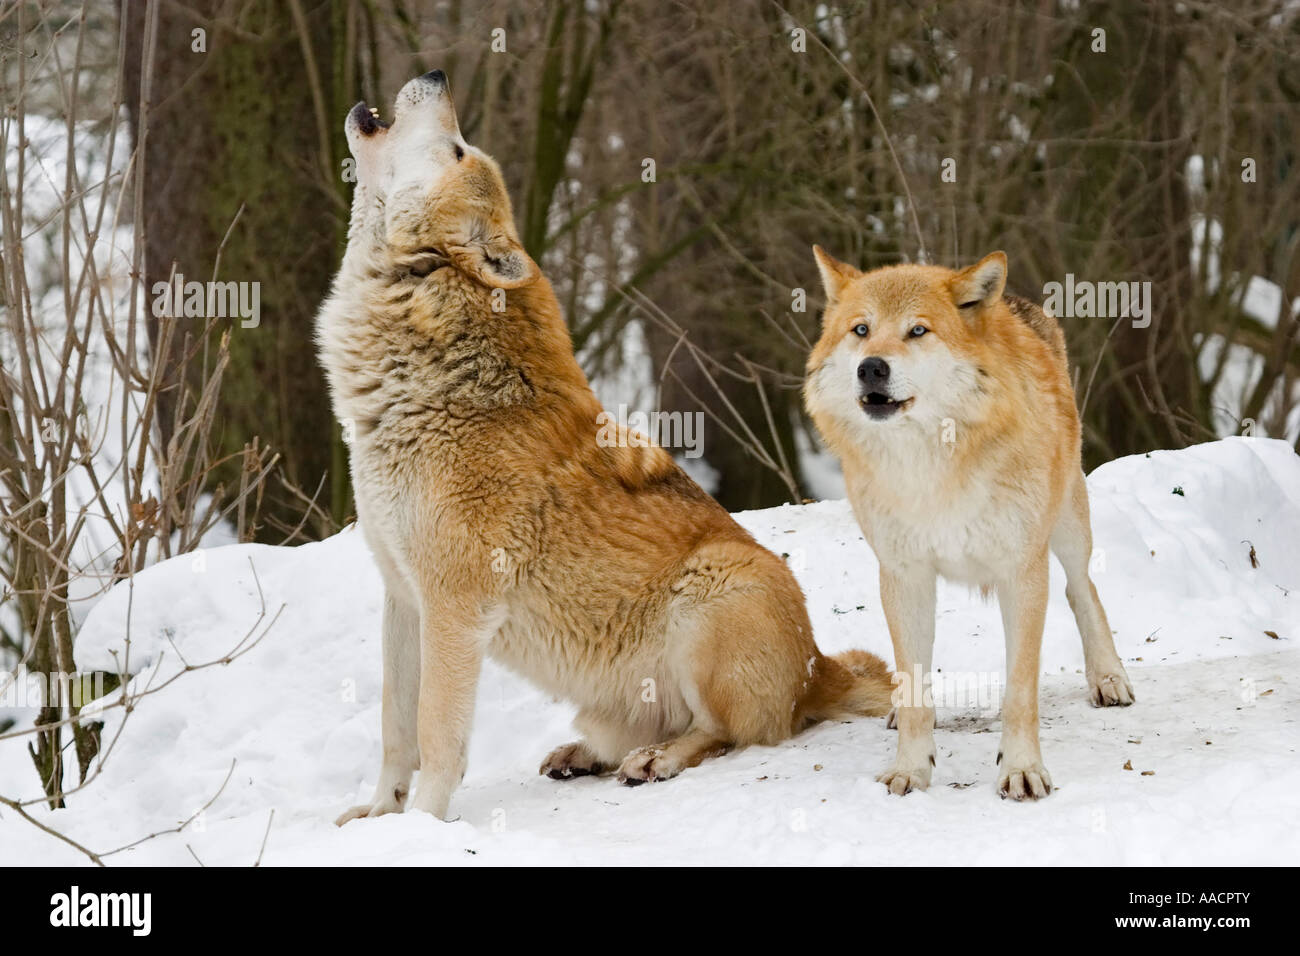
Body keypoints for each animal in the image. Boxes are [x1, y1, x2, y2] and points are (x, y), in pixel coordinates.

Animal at [317, 72, 893, 822]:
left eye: (458, 147)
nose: (439, 77)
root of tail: (817, 667)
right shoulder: (401, 595)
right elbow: (395, 730)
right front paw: (379, 819)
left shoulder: (454, 607)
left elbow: (437, 736)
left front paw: (422, 826)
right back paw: (582, 754)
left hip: (709, 594)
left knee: (728, 735)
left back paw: (657, 760)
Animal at [803, 247, 1134, 800]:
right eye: (861, 330)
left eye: (918, 331)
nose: (872, 368)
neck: (931, 463)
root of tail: (1019, 302)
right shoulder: (905, 576)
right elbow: (915, 687)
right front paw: (910, 770)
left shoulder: (1021, 573)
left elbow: (1020, 690)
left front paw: (1021, 770)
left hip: (1067, 525)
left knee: (1082, 588)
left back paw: (1108, 678)